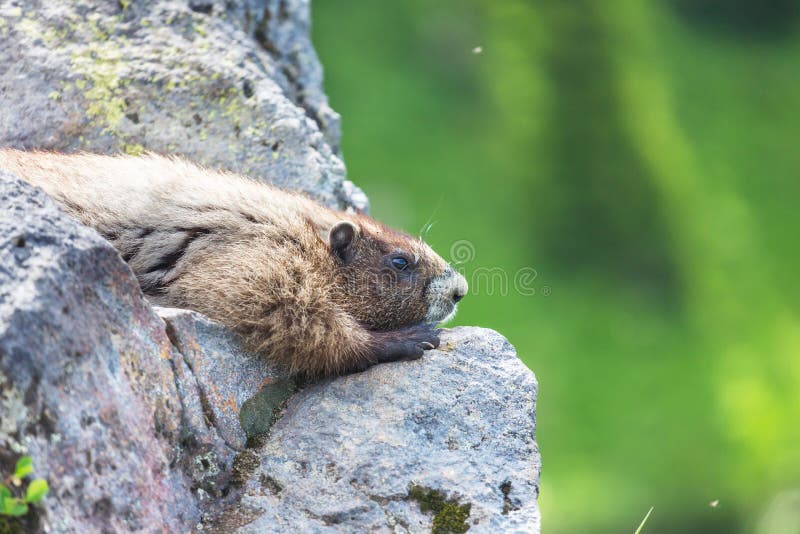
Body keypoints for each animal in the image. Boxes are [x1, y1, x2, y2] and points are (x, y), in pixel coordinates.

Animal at [0, 149, 468, 376]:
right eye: (401, 261)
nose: (461, 289)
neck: (306, 230)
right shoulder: (257, 248)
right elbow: (272, 301)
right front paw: (403, 339)